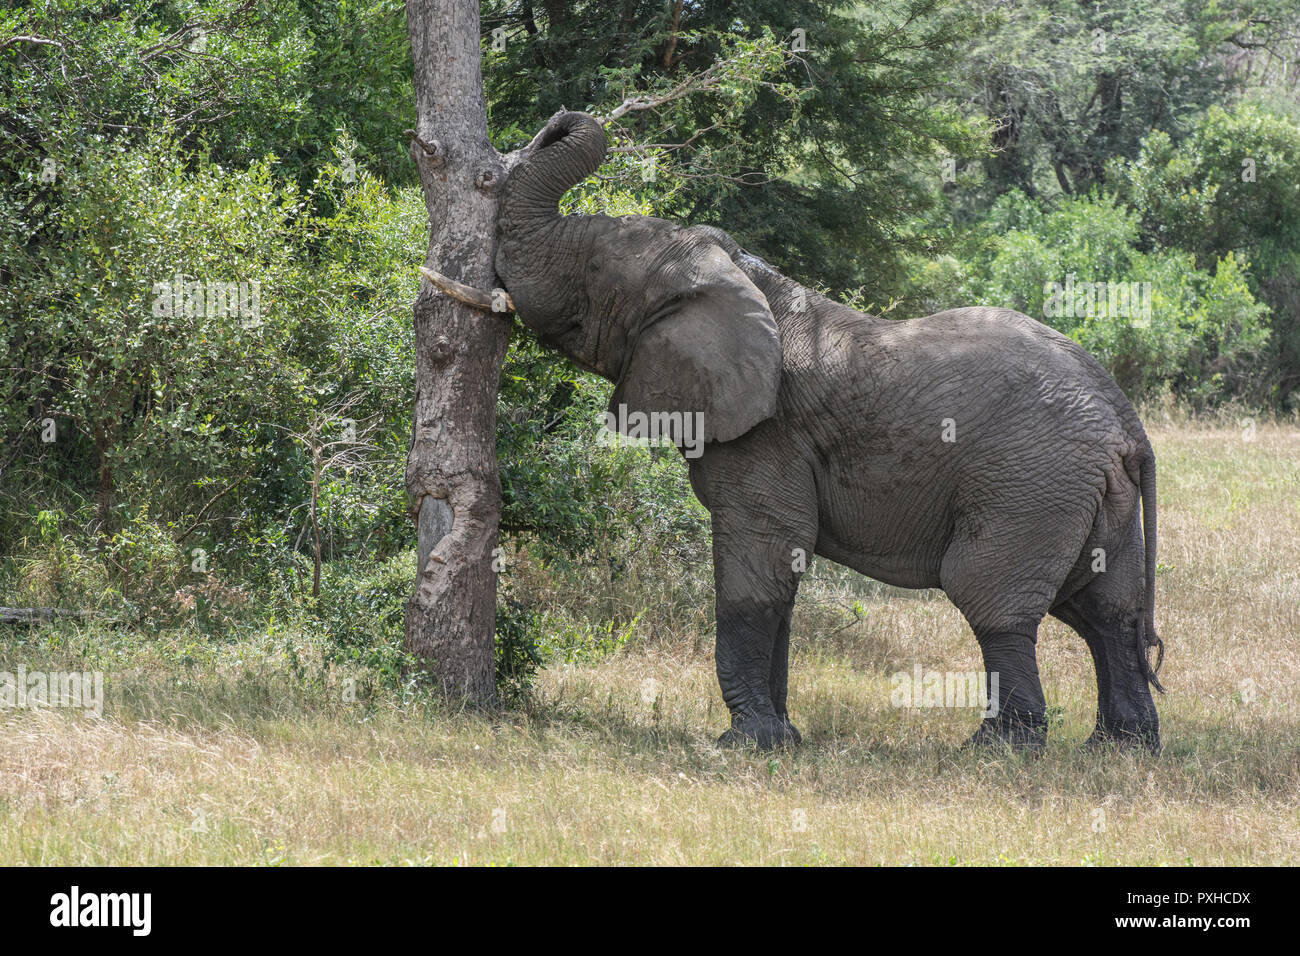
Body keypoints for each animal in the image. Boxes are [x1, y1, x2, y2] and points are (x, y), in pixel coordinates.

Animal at [491, 109, 1165, 753]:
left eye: (595, 267)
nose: (552, 126)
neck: (742, 274)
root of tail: (1125, 422)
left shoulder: (770, 435)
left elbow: (759, 568)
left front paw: (746, 745)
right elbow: (780, 575)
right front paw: (782, 738)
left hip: (1028, 485)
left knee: (991, 598)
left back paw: (999, 748)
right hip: (1090, 493)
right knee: (1106, 608)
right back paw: (1120, 748)